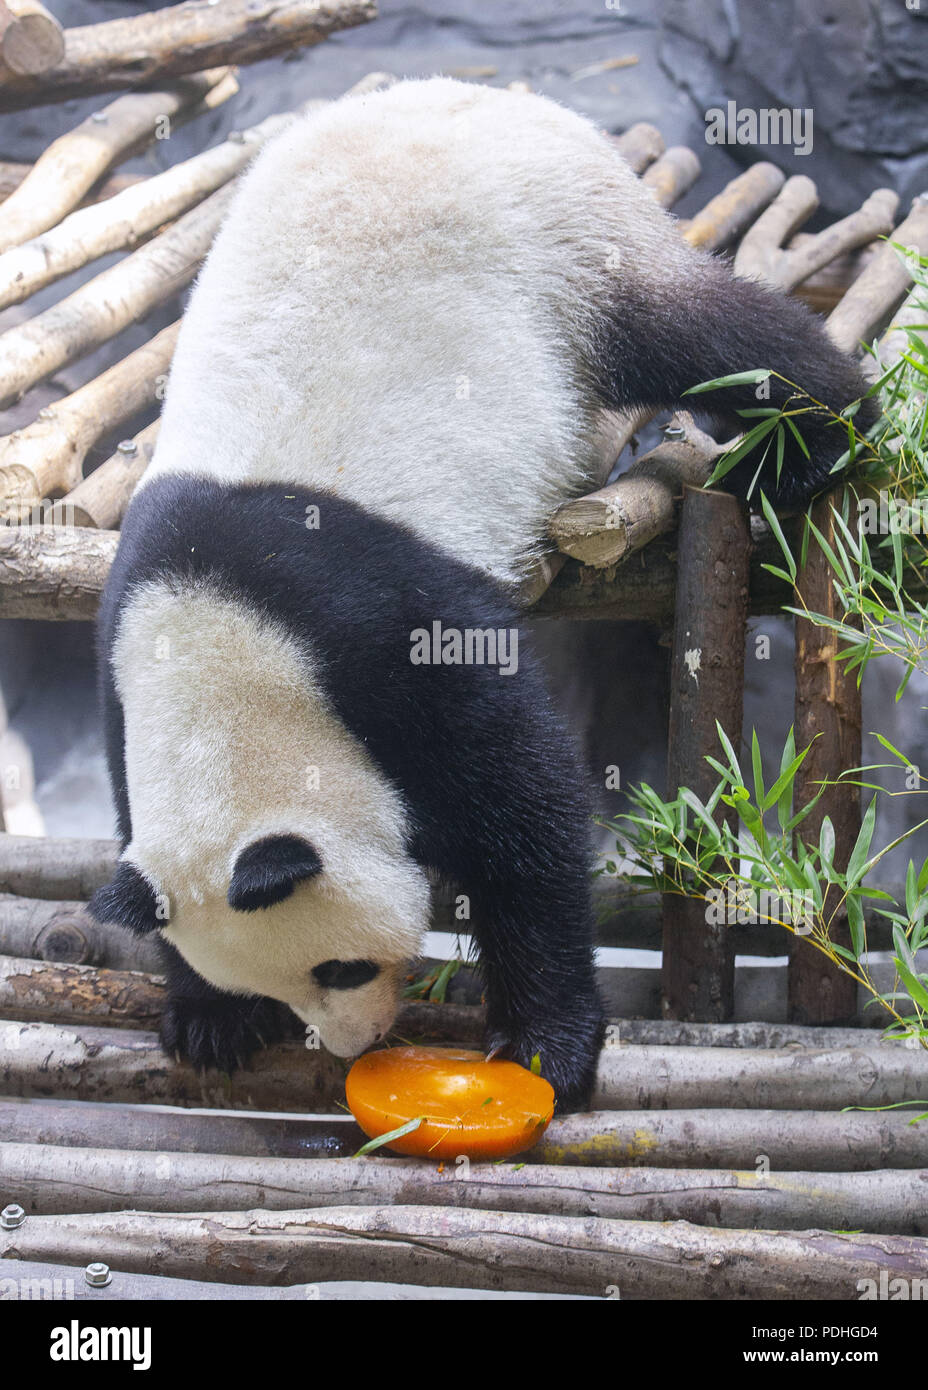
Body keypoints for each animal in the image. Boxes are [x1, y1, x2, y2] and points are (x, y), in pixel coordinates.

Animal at [88, 78, 874, 1111]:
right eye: (283, 983)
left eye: (338, 968)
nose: (353, 1044)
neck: (222, 637)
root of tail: (474, 91)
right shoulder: (126, 646)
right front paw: (210, 1020)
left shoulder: (378, 626)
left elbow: (522, 806)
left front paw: (545, 1042)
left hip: (565, 247)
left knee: (706, 334)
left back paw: (816, 441)